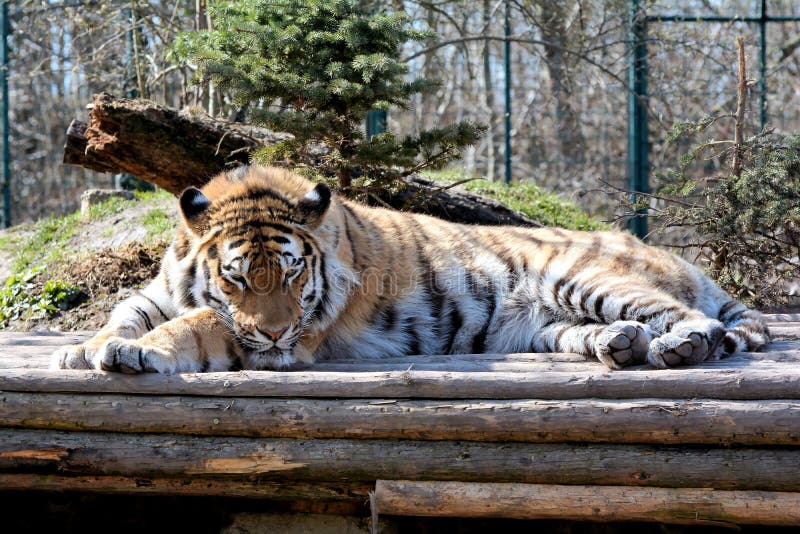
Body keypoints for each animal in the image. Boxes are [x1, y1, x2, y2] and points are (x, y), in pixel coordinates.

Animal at [52, 165, 769, 374]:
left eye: (290, 275)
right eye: (238, 276)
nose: (278, 332)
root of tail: (673, 254)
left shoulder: (289, 341)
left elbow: (198, 323)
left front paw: (136, 353)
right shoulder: (164, 286)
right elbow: (132, 308)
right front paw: (89, 345)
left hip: (584, 278)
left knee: (696, 320)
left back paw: (678, 347)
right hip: (548, 325)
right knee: (608, 332)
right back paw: (618, 346)